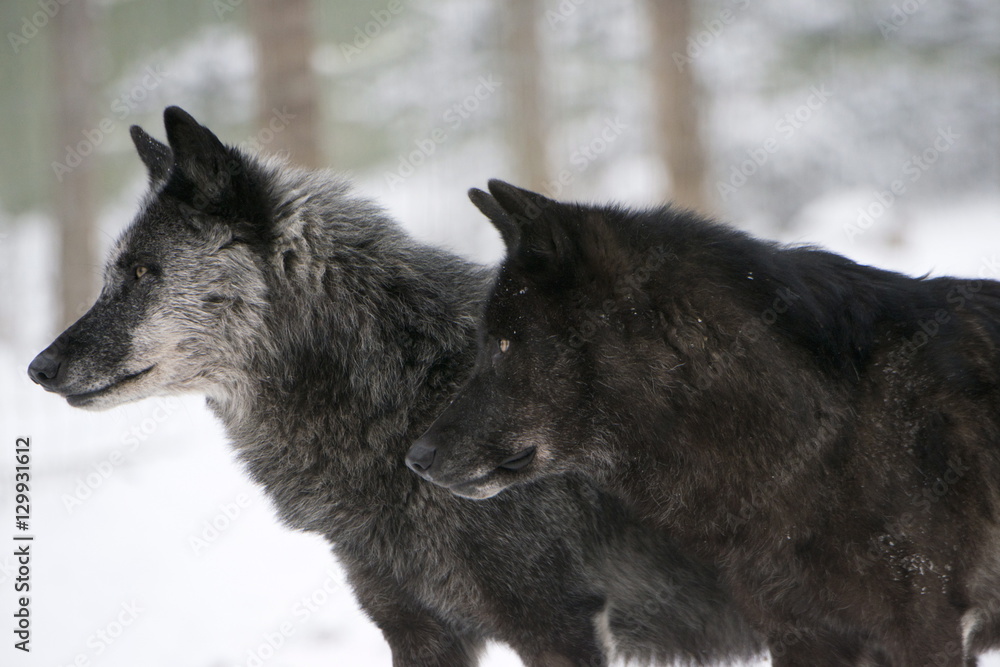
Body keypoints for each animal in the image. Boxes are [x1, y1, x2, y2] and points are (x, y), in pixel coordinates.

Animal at [27, 108, 763, 666]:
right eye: (112, 273)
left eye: (143, 273)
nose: (38, 368)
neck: (410, 393)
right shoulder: (417, 631)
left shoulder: (557, 624)